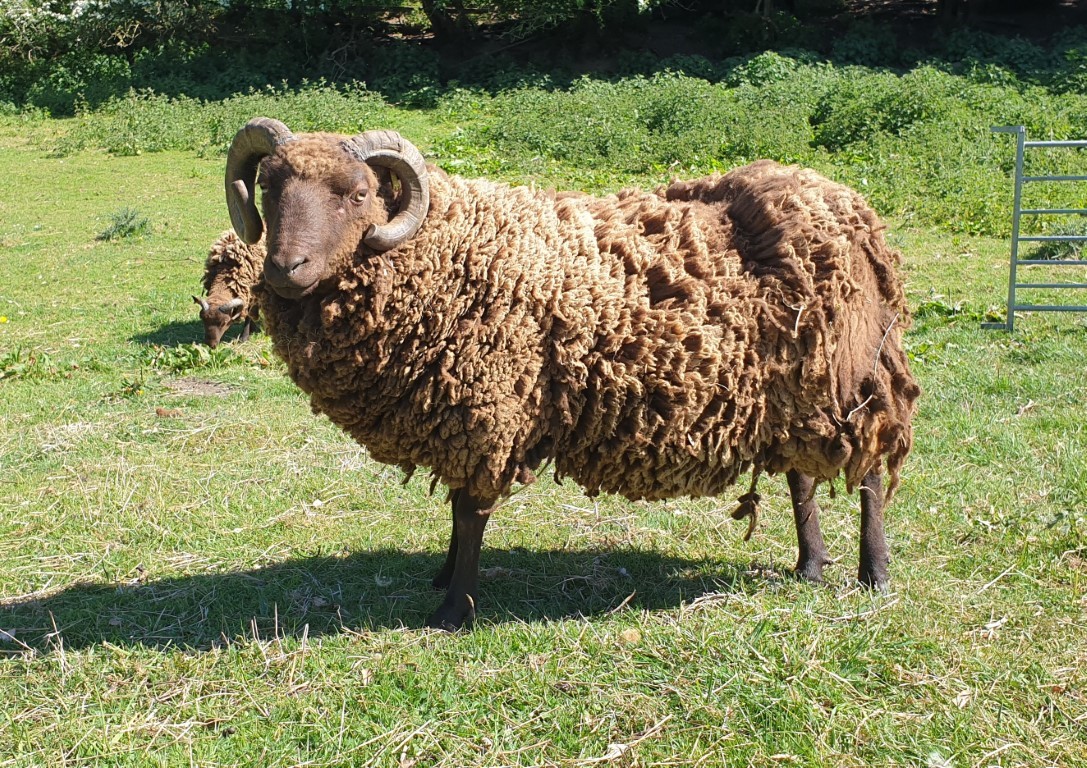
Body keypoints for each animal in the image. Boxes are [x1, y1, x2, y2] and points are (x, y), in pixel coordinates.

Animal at [224, 117, 921, 630]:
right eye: (269, 189)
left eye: (358, 194)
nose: (287, 267)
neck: (444, 249)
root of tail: (851, 206)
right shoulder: (463, 416)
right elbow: (456, 507)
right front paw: (445, 577)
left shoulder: (490, 407)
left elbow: (470, 512)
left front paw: (455, 608)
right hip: (797, 389)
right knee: (803, 476)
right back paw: (810, 564)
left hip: (853, 377)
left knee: (866, 477)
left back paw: (875, 573)